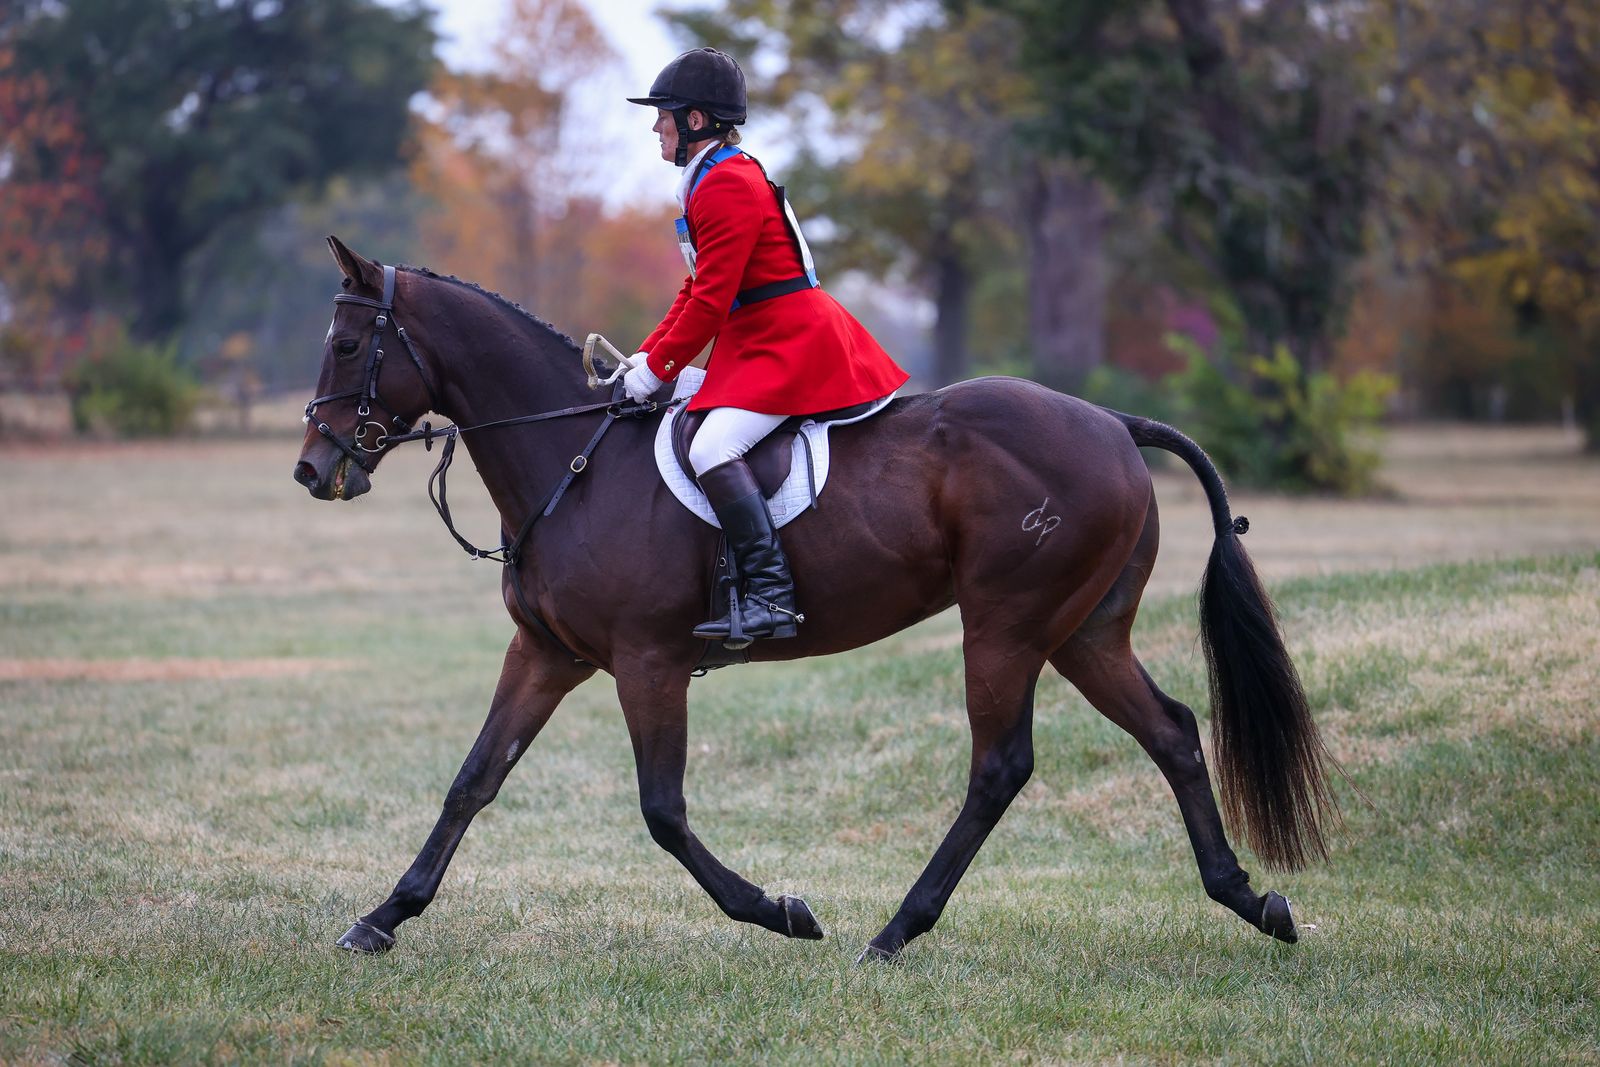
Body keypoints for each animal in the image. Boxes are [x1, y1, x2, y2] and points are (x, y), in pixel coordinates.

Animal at [294, 236, 1335, 961]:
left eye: (345, 343)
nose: (313, 470)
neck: (574, 459)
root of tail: (1114, 423)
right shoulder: (547, 654)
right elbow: (474, 779)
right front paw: (383, 915)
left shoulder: (647, 663)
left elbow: (662, 810)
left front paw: (780, 910)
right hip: (1083, 633)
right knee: (1171, 732)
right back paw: (1253, 900)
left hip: (1007, 627)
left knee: (1000, 766)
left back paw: (896, 930)